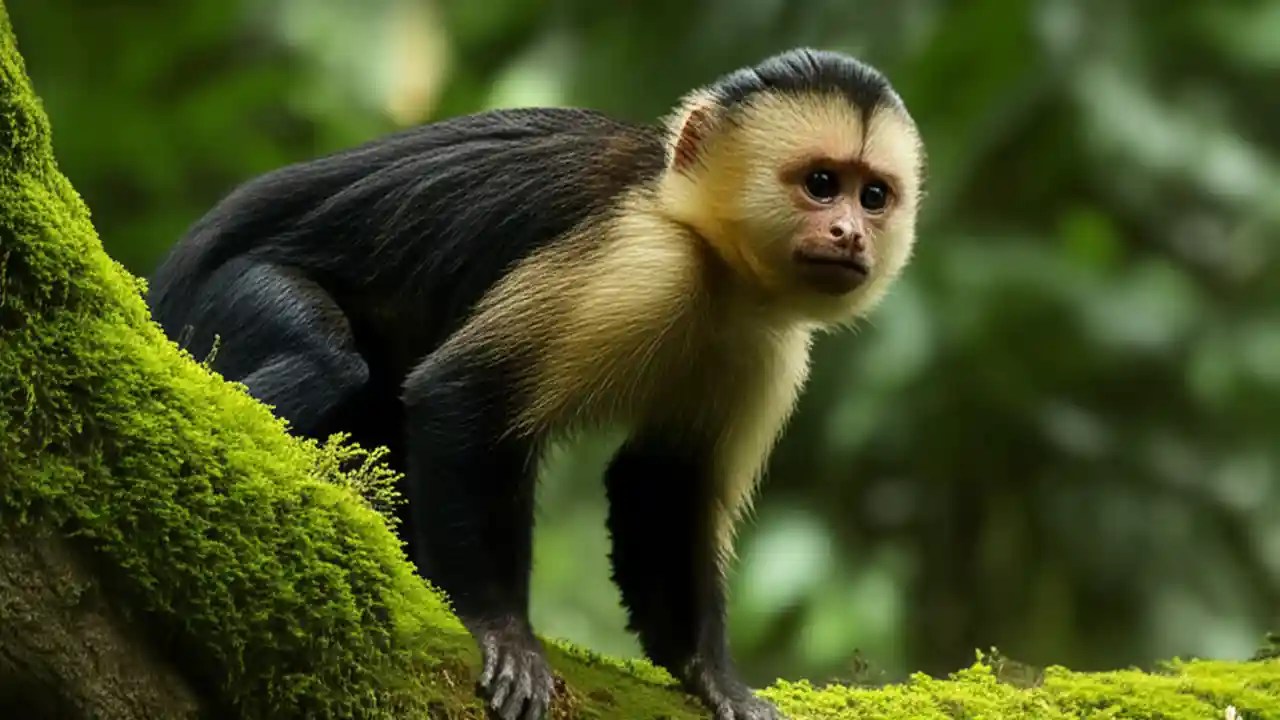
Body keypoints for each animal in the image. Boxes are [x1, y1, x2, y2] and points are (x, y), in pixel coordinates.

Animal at [147, 48, 925, 720]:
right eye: (821, 184)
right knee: (328, 364)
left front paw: (714, 678)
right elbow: (460, 395)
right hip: (213, 300)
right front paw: (502, 630)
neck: (707, 250)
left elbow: (662, 486)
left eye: (873, 196)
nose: (850, 233)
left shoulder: (768, 346)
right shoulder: (638, 261)